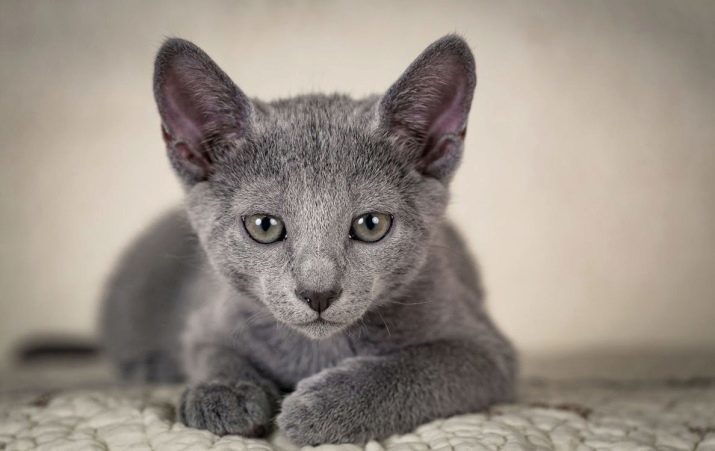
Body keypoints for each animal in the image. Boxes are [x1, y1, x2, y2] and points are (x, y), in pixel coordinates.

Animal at [99, 34, 516, 444]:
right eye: (263, 225)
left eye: (372, 224)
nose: (318, 293)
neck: (316, 350)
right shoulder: (208, 319)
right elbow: (211, 352)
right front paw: (225, 393)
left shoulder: (490, 351)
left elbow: (422, 365)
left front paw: (325, 407)